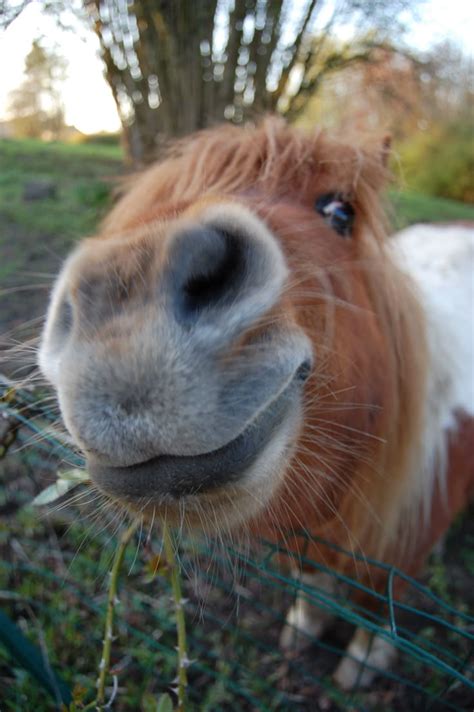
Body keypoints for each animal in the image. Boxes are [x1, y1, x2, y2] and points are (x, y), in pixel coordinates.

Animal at [38, 118, 474, 689]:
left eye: (341, 212)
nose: (127, 291)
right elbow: (313, 581)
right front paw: (304, 628)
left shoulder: (403, 551)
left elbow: (383, 606)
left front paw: (361, 665)